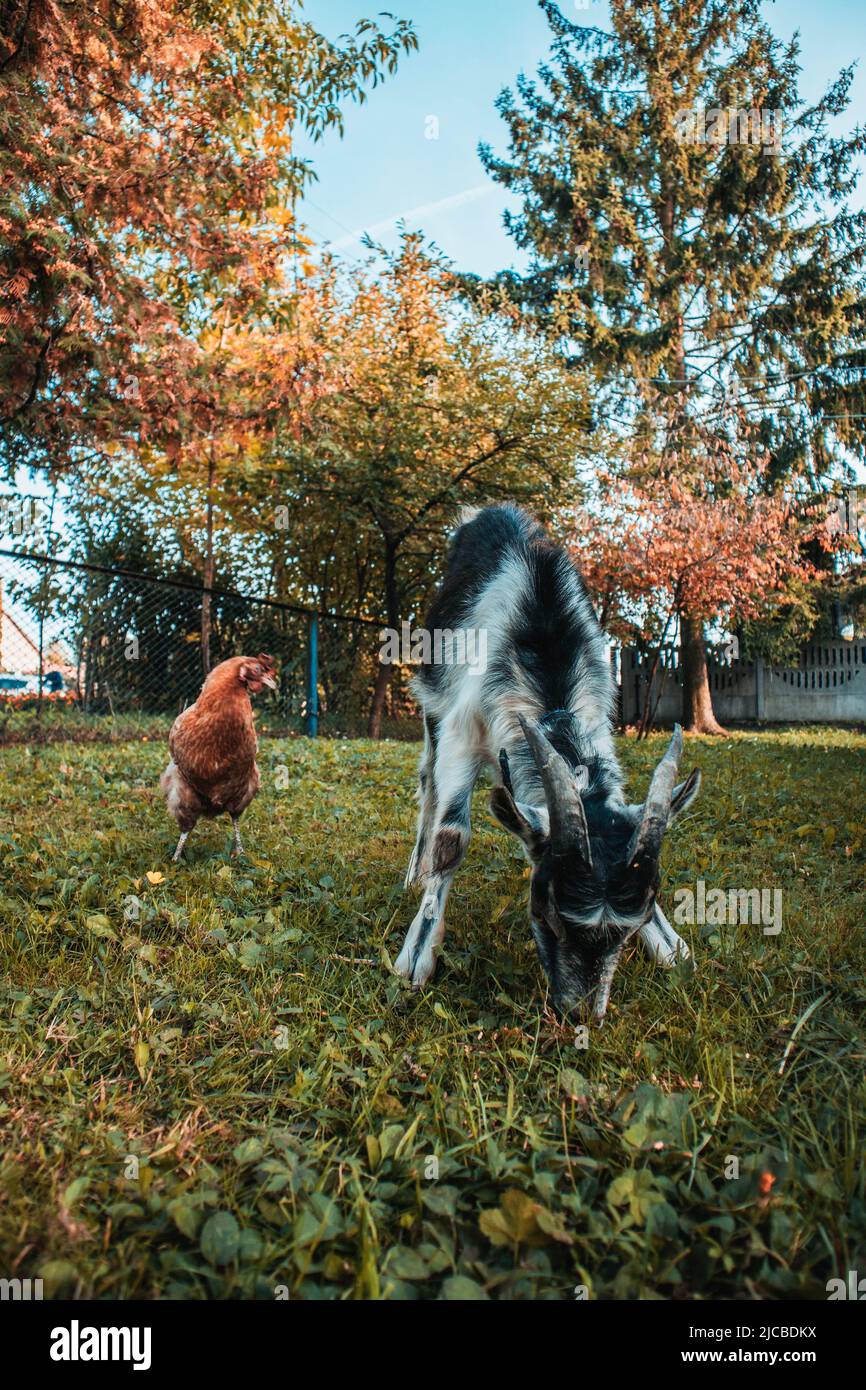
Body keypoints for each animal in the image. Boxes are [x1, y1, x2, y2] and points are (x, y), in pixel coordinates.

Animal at [394, 504, 701, 1023]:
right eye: (547, 907)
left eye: (633, 920)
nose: (580, 1013)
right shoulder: (462, 730)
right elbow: (451, 836)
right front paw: (417, 953)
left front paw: (669, 943)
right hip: (432, 704)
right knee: (428, 786)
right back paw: (416, 873)